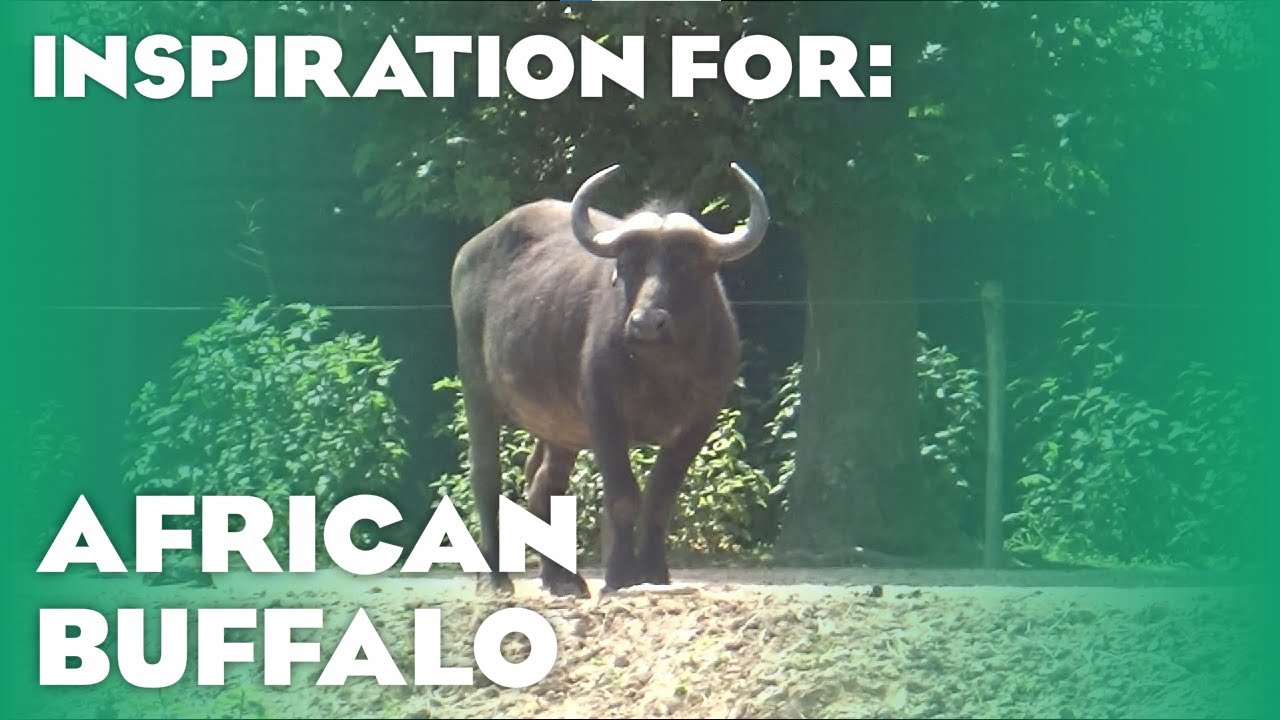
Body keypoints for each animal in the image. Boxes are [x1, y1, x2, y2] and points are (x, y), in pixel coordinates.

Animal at [449, 162, 770, 596]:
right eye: (631, 265)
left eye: (685, 265)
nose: (646, 323)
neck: (662, 370)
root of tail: (469, 252)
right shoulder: (603, 414)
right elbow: (621, 497)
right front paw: (619, 575)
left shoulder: (699, 422)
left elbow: (660, 498)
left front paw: (653, 572)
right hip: (477, 390)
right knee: (486, 473)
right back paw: (496, 579)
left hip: (557, 424)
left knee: (543, 481)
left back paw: (561, 579)